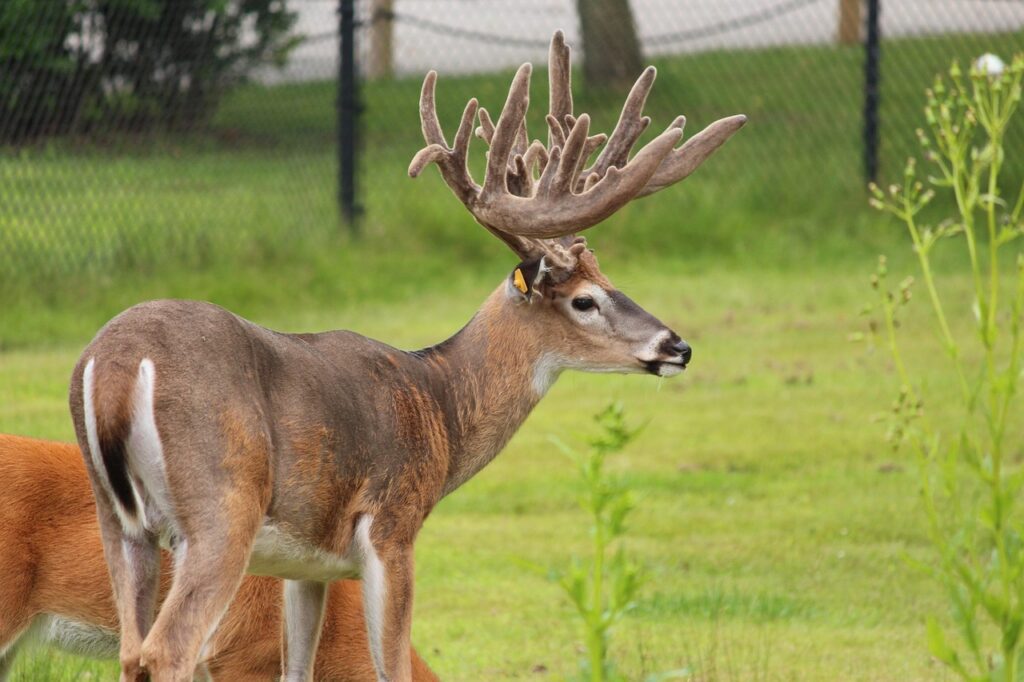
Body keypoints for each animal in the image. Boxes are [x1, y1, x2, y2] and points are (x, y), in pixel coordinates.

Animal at [68, 30, 745, 682]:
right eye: (584, 300)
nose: (678, 346)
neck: (439, 404)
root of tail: (116, 368)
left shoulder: (307, 562)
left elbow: (298, 667)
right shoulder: (392, 525)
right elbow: (391, 666)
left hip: (118, 518)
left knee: (130, 651)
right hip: (220, 507)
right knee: (166, 651)